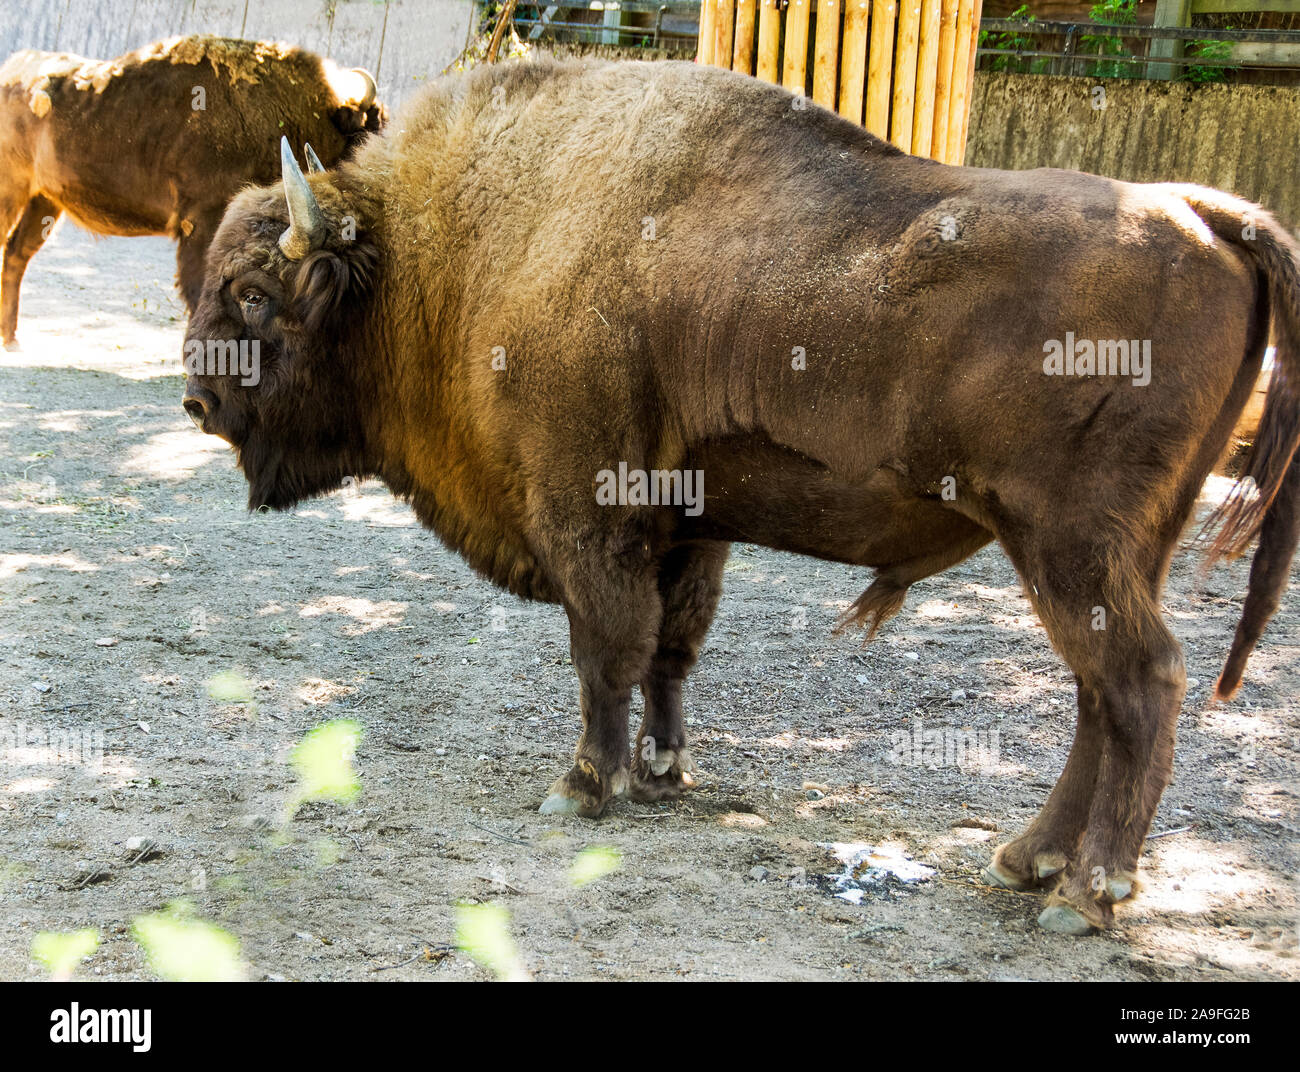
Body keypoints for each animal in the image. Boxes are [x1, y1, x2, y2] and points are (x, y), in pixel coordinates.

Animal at [0, 34, 384, 348]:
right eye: (366, 132)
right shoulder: (202, 223)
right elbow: (203, 289)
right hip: (14, 192)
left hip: (44, 202)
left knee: (18, 253)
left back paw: (12, 338)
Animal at [181, 58, 1298, 936]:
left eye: (254, 292)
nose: (195, 397)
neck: (440, 248)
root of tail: (1207, 212)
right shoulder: (687, 529)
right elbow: (669, 650)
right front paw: (664, 770)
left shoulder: (588, 519)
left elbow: (606, 652)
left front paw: (582, 785)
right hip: (1112, 554)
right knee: (1095, 697)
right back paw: (1028, 862)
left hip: (1069, 545)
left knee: (1141, 683)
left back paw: (1089, 892)